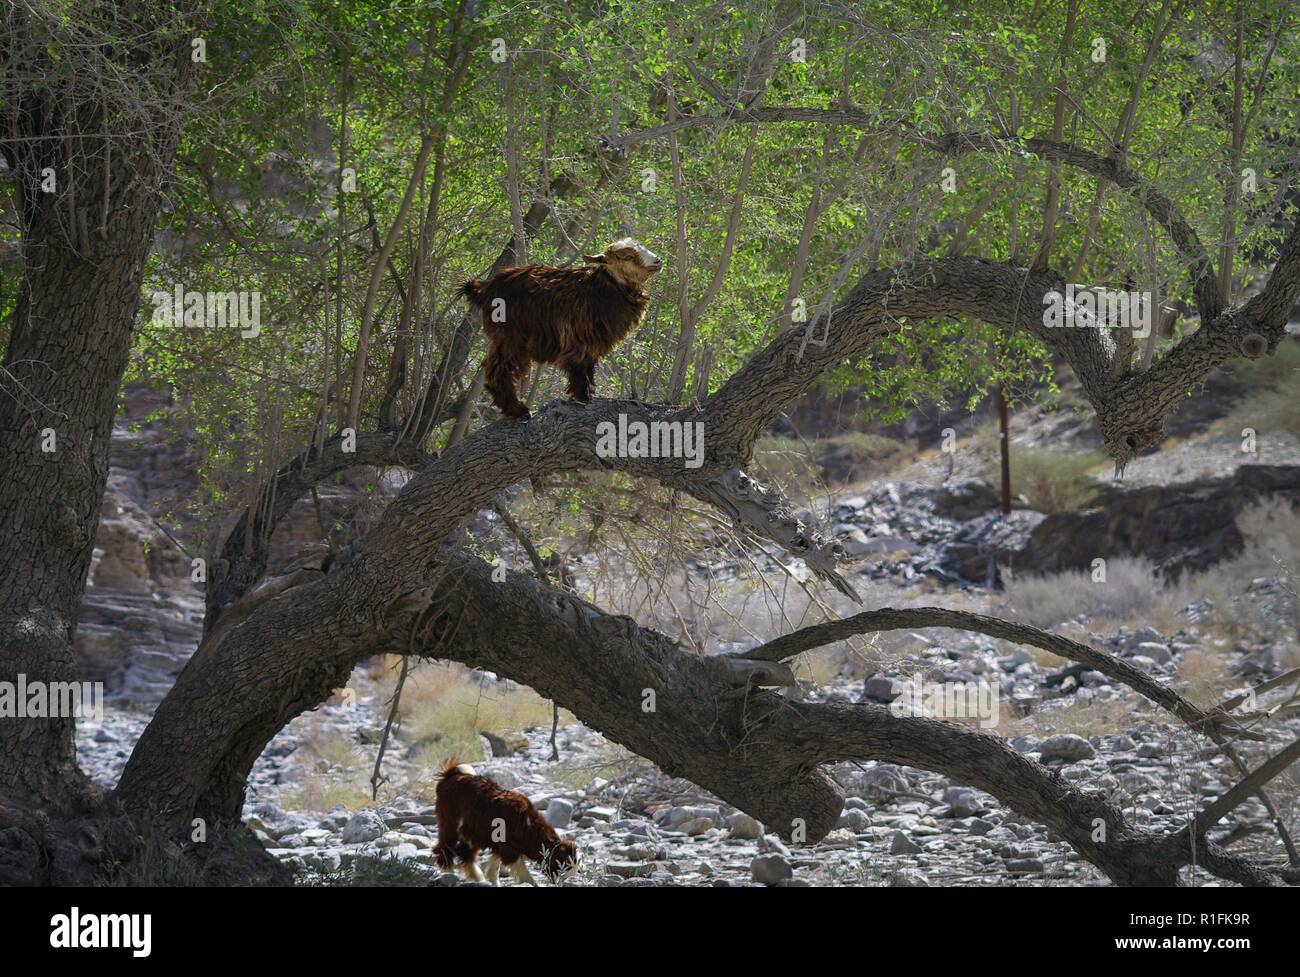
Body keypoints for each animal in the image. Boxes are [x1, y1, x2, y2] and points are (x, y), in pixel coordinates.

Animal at [433, 760, 577, 885]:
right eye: (562, 865)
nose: (558, 882)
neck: (528, 825)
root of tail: (450, 774)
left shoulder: (500, 841)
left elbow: (496, 864)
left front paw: (493, 880)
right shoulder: (509, 844)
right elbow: (520, 868)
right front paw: (531, 883)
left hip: (471, 828)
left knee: (465, 850)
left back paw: (477, 876)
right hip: (450, 817)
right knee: (447, 843)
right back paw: (447, 871)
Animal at [458, 238, 662, 419]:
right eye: (627, 256)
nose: (658, 261)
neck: (599, 290)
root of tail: (486, 289)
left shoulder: (593, 344)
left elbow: (588, 366)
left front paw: (589, 393)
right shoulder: (579, 340)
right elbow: (578, 366)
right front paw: (582, 396)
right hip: (511, 337)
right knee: (497, 370)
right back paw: (519, 411)